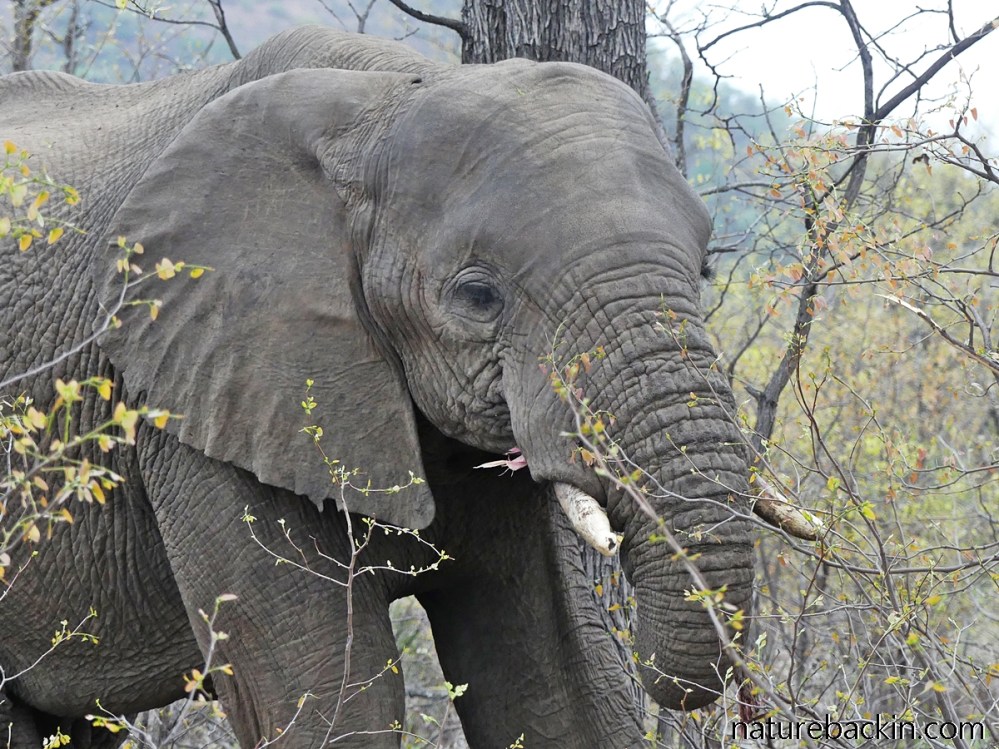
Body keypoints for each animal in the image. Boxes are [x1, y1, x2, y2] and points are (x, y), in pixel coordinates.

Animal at [0, 25, 776, 749]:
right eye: (477, 295)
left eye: (705, 270)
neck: (384, 98)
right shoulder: (201, 391)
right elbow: (332, 702)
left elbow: (555, 688)